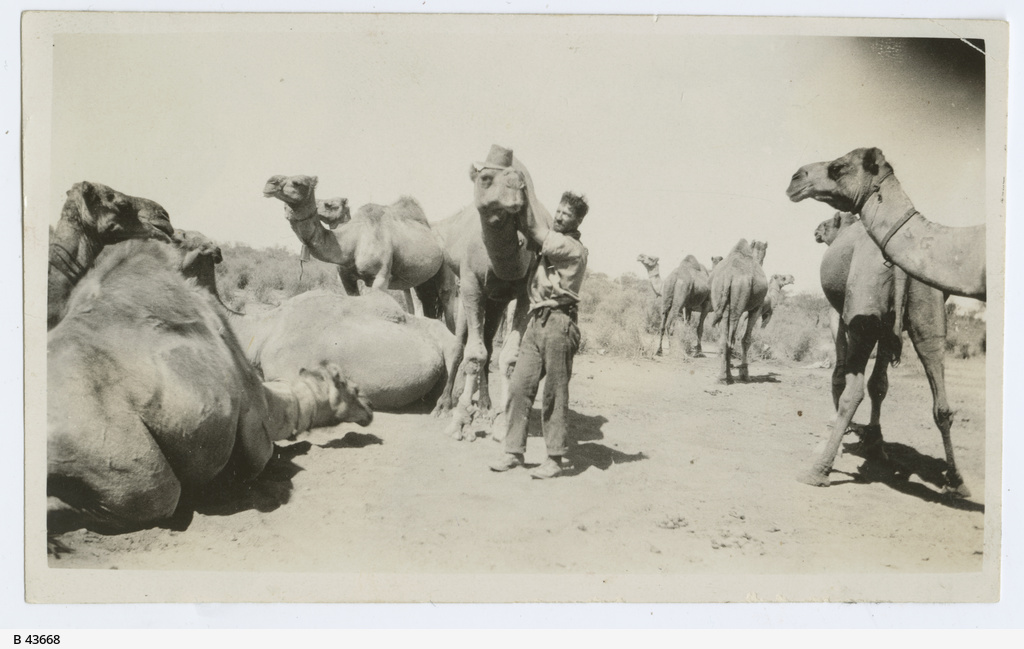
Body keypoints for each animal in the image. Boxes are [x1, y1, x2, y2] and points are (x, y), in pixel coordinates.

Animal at [47, 240, 373, 532]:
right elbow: (256, 462)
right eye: (349, 386)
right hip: (118, 457)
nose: (370, 408)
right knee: (156, 495)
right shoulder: (254, 428)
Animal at [429, 145, 542, 440]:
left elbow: (507, 358)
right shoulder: (470, 284)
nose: (515, 187)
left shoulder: (523, 293)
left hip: (496, 304)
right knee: (460, 347)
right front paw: (459, 422)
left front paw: (502, 422)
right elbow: (472, 354)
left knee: (489, 347)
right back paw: (443, 405)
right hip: (463, 297)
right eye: (485, 179)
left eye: (522, 182)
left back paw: (484, 407)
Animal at [710, 239, 768, 383]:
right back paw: (727, 377)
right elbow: (746, 339)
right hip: (738, 302)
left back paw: (723, 377)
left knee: (725, 338)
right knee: (732, 336)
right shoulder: (756, 309)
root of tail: (728, 276)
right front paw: (745, 374)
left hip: (721, 299)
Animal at [800, 212, 969, 496]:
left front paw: (844, 435)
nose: (816, 231)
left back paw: (818, 471)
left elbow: (840, 372)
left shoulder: (842, 315)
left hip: (863, 312)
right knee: (940, 398)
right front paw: (875, 444)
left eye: (828, 223)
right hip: (928, 308)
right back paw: (956, 482)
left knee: (853, 391)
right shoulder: (888, 325)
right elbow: (879, 384)